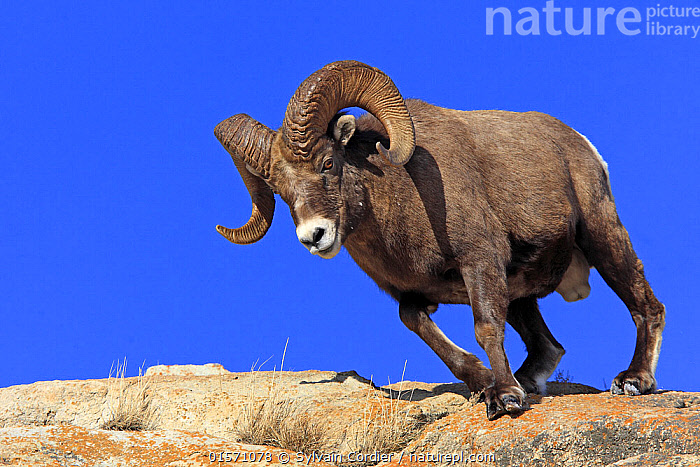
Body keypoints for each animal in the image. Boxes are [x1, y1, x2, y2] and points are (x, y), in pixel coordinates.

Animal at [213, 60, 665, 420]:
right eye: (281, 191)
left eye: (327, 163)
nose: (314, 236)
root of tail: (582, 147)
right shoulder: (411, 295)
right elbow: (419, 326)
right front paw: (486, 385)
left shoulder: (480, 262)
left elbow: (486, 328)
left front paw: (505, 399)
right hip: (522, 292)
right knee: (548, 347)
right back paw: (528, 380)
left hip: (602, 238)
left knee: (645, 305)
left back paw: (633, 381)